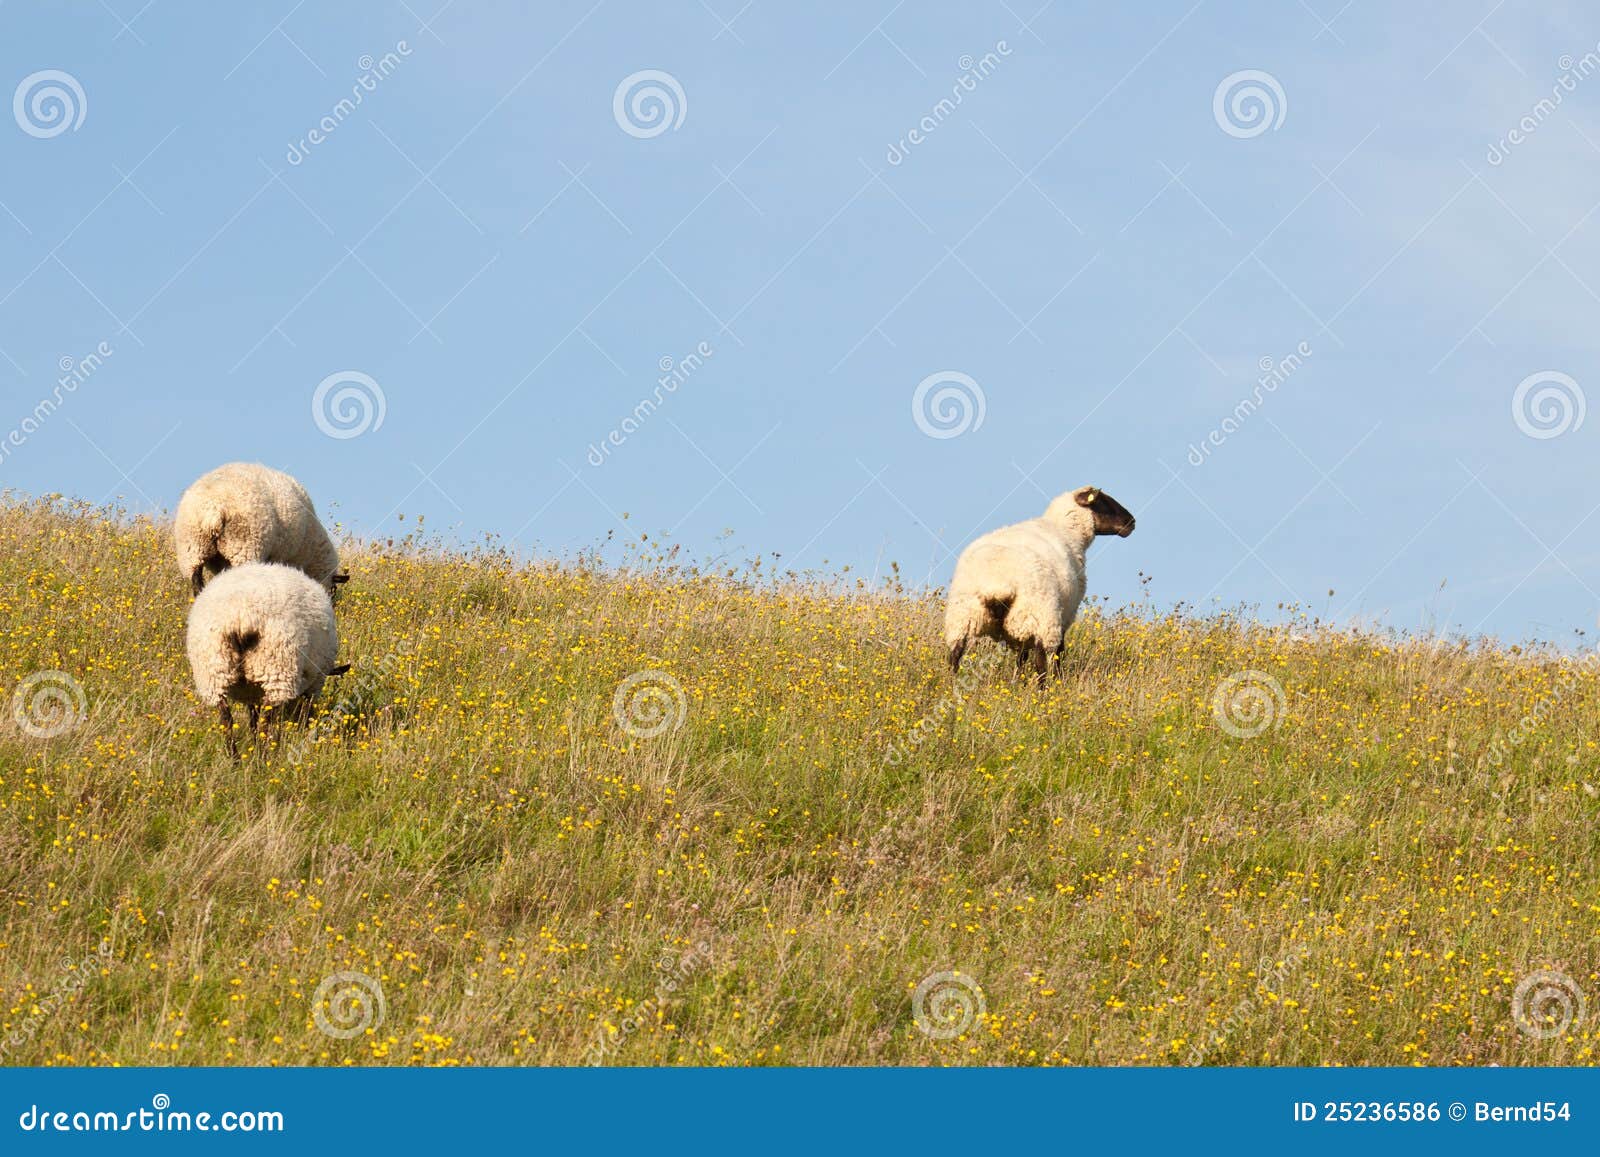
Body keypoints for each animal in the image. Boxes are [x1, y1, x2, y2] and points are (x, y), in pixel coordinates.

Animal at [185, 562, 349, 758]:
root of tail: (242, 617)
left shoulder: (250, 690)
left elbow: (253, 716)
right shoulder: (315, 682)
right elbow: (305, 710)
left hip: (213, 669)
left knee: (226, 720)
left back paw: (235, 759)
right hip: (277, 669)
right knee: (266, 721)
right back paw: (262, 759)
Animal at [943, 485, 1135, 684]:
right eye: (1103, 502)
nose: (1132, 522)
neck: (1066, 531)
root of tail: (998, 583)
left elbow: (1021, 658)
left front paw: (1018, 681)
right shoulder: (1065, 615)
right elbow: (1058, 653)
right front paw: (1058, 679)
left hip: (963, 619)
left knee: (954, 657)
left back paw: (950, 683)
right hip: (1041, 617)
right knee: (1040, 662)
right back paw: (1043, 689)